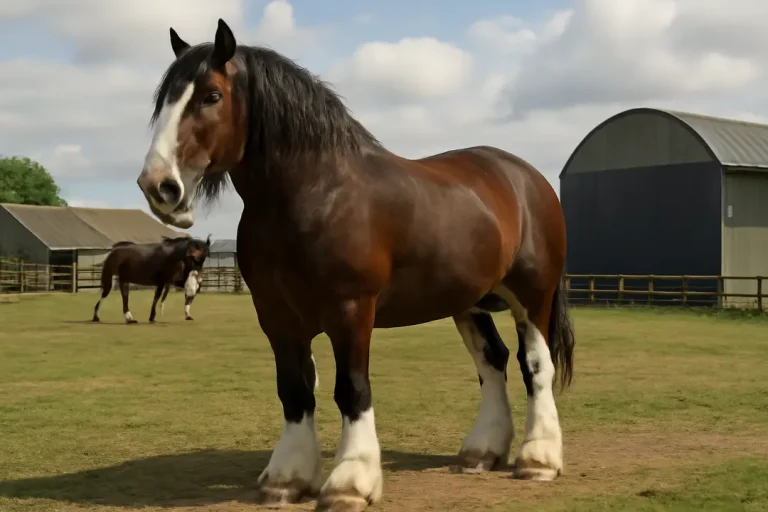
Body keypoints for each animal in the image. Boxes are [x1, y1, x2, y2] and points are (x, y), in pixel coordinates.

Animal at [135, 19, 575, 511]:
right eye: (164, 100)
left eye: (212, 95)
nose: (159, 186)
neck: (316, 194)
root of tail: (528, 177)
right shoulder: (276, 315)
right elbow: (294, 389)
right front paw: (288, 478)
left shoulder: (351, 310)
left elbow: (352, 389)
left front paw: (351, 481)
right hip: (471, 302)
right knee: (492, 361)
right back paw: (481, 452)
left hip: (533, 297)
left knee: (534, 364)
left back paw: (538, 459)